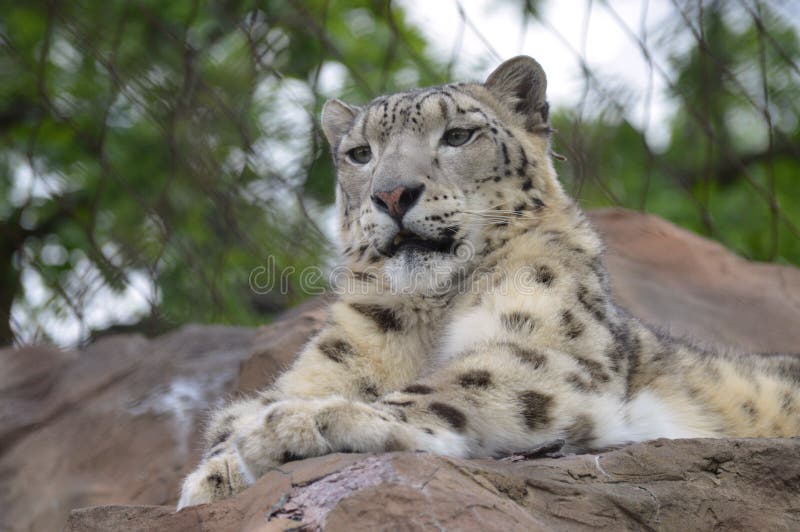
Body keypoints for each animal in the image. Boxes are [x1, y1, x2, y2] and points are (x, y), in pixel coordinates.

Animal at [177, 56, 800, 508]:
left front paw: (301, 425)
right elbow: (233, 420)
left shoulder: (549, 347)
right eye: (359, 153)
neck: (427, 318)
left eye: (457, 135)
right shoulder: (322, 366)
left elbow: (455, 384)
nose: (392, 194)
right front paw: (217, 473)